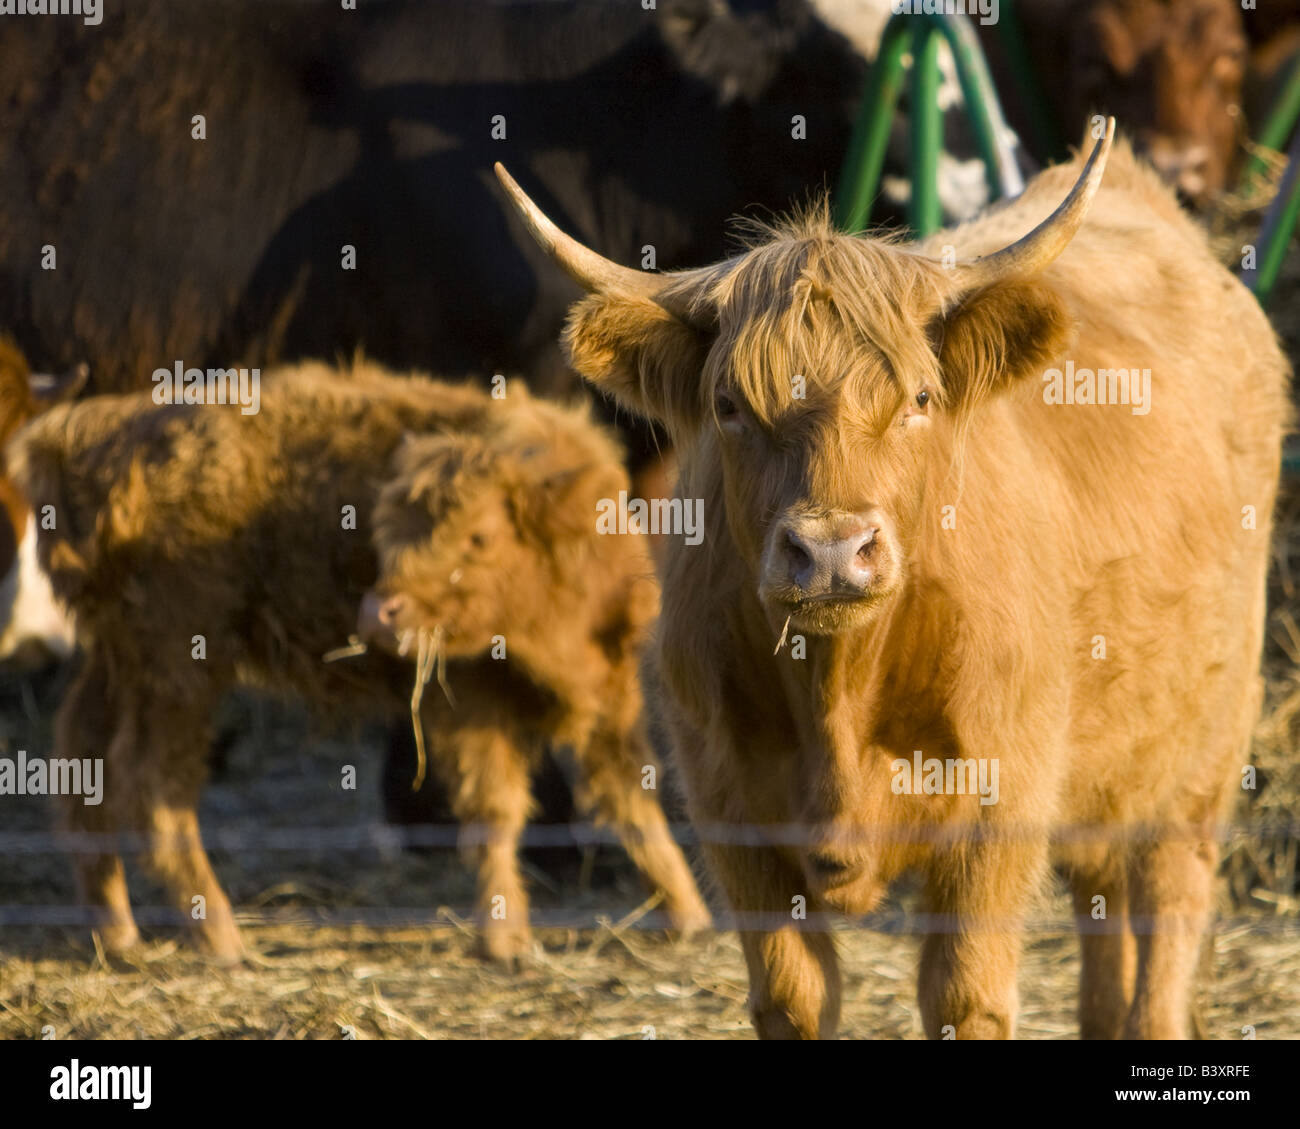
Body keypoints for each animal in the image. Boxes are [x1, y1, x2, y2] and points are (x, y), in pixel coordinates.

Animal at [7, 361, 707, 962]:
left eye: (479, 537)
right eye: (387, 531)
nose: (377, 613)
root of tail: (81, 439)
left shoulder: (611, 696)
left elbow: (629, 797)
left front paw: (690, 915)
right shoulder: (469, 706)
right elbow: (496, 811)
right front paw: (504, 940)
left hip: (122, 661)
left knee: (83, 759)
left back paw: (117, 931)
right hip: (178, 666)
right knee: (154, 784)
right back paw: (220, 938)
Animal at [495, 118, 1290, 1038]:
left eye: (919, 398)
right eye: (729, 404)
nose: (833, 551)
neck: (838, 690)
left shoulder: (997, 811)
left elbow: (966, 994)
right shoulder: (733, 812)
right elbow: (793, 996)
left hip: (1204, 745)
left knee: (1168, 905)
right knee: (1104, 896)